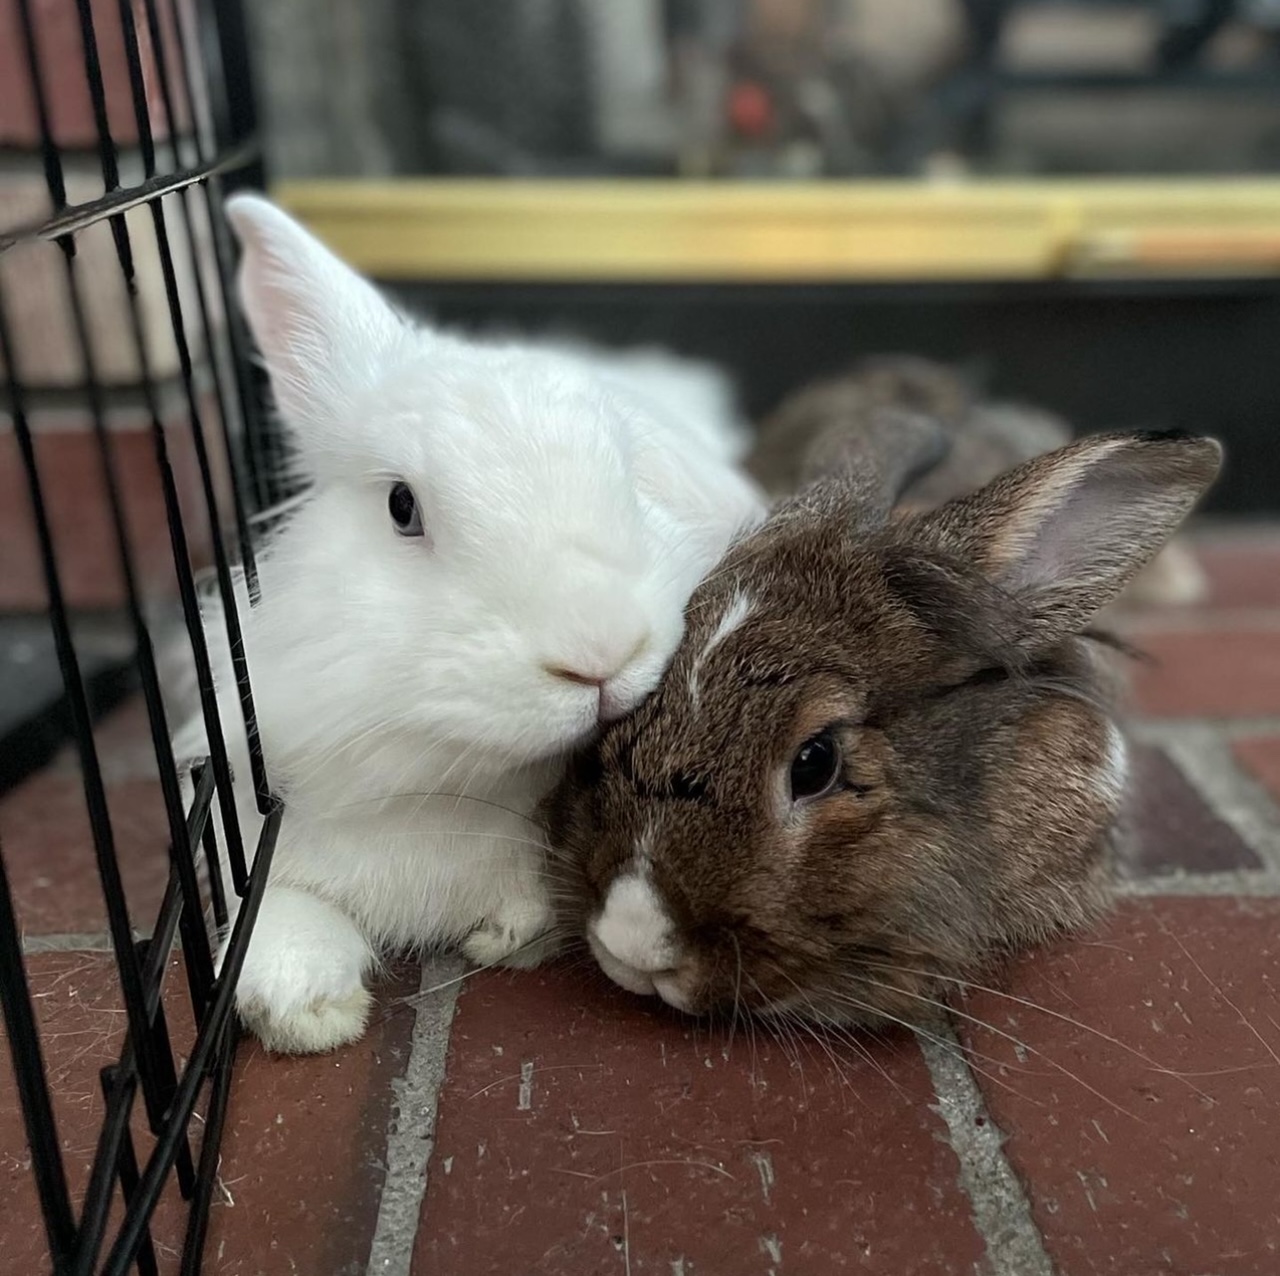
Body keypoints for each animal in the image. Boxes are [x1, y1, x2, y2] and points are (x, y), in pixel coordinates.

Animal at [174, 195, 765, 1054]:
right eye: (401, 507)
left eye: (634, 476)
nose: (599, 652)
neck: (464, 782)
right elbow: (279, 913)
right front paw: (304, 1009)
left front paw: (509, 930)